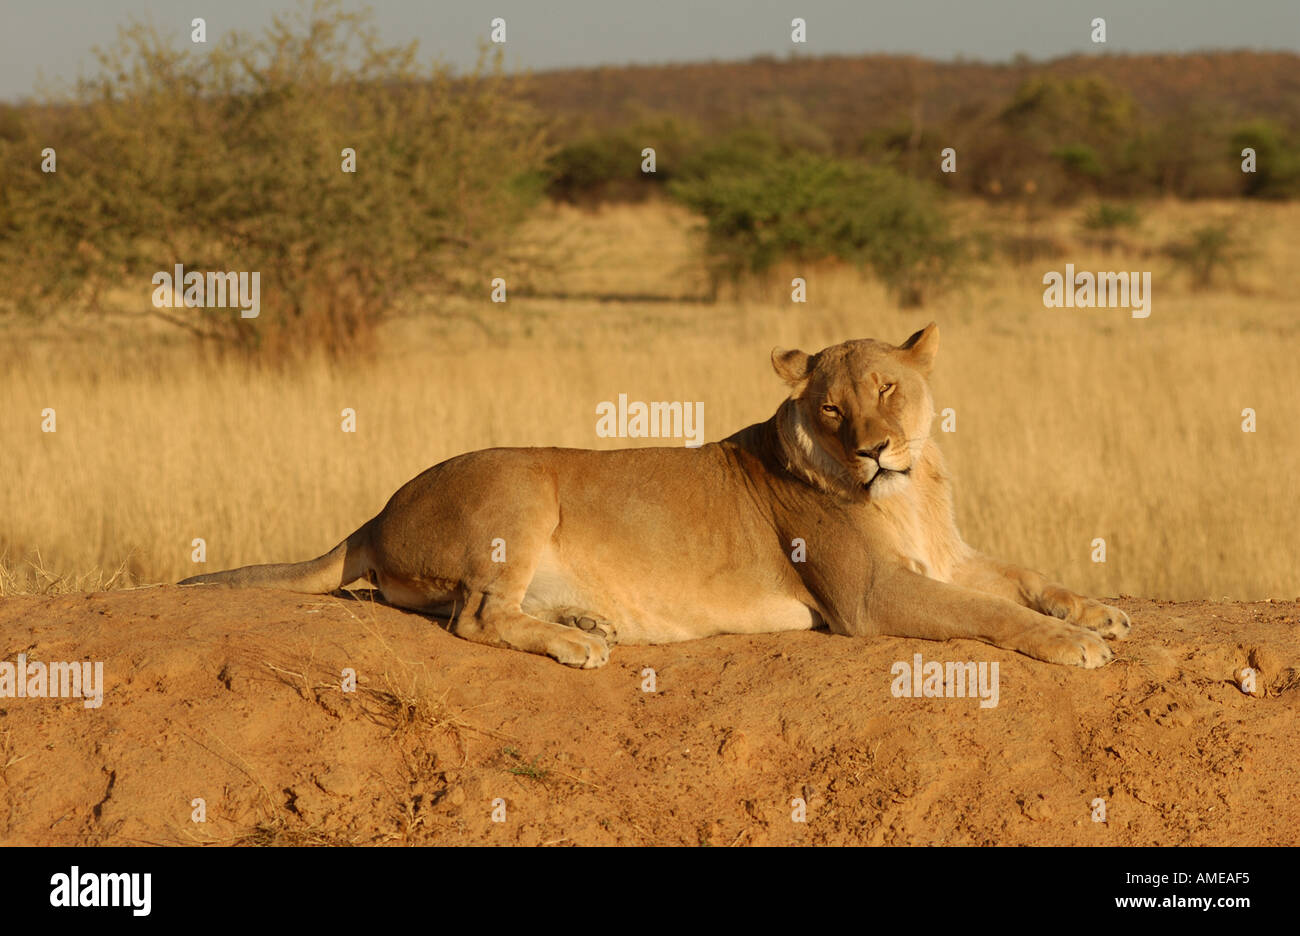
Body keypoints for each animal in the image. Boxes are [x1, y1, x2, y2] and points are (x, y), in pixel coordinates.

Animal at [181, 323, 1130, 669]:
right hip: (519, 487)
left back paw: (585, 621)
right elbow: (993, 613)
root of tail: (376, 513)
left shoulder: (949, 555)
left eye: (888, 390)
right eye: (832, 408)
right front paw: (1075, 644)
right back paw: (580, 647)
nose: (873, 450)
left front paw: (1101, 613)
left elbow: (1025, 579)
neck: (911, 492)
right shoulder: (870, 594)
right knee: (474, 617)